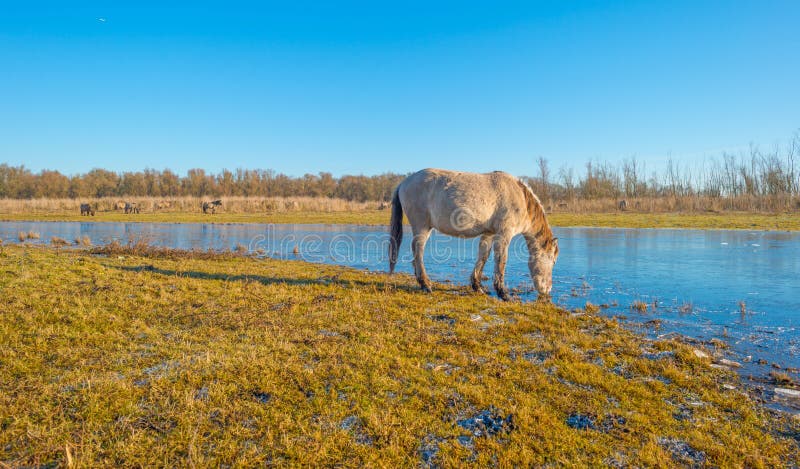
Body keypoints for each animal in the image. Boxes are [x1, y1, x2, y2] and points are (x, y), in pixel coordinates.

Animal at [389, 169, 559, 301]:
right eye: (553, 261)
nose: (547, 290)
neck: (520, 197)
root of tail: (404, 183)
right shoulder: (504, 234)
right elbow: (501, 260)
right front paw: (503, 294)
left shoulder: (489, 233)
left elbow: (483, 256)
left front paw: (477, 286)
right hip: (422, 226)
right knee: (418, 251)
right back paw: (425, 285)